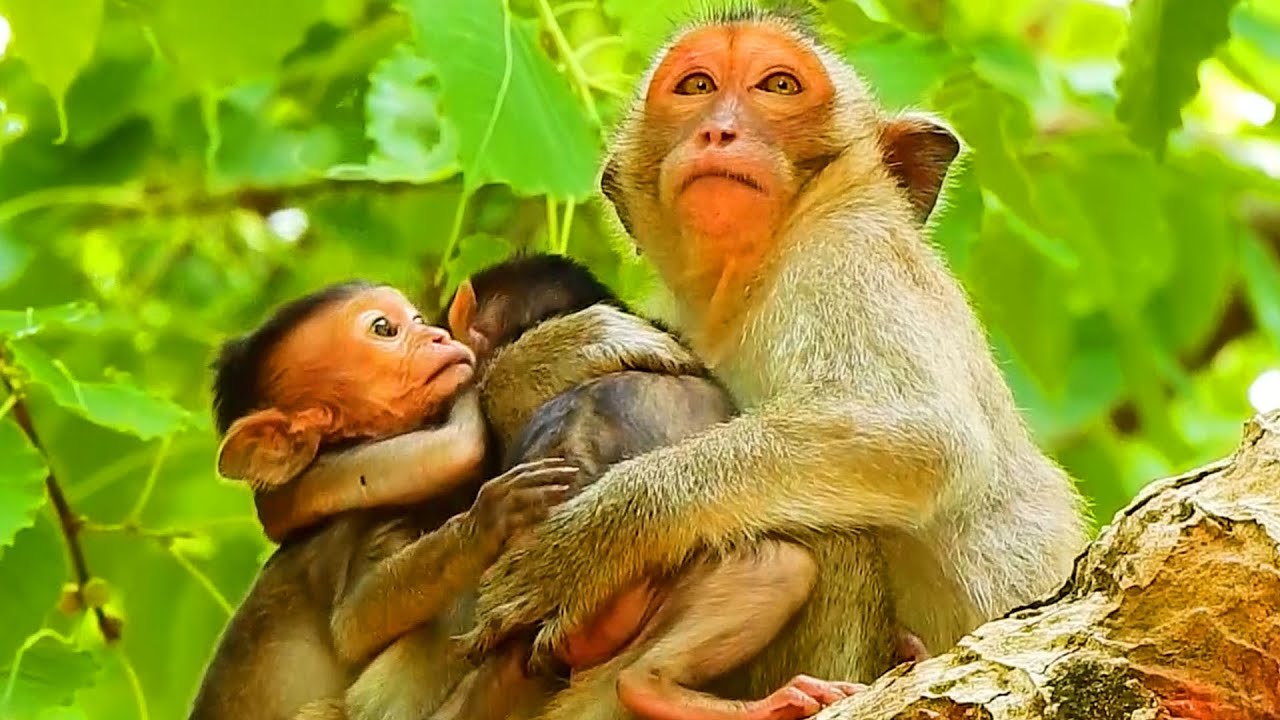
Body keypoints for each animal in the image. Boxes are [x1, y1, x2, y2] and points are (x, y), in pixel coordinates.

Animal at [187, 281, 578, 720]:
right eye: (384, 328)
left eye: (419, 320)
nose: (440, 336)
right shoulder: (359, 527)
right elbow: (355, 621)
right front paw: (488, 519)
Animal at [453, 8, 1090, 720]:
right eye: (697, 85)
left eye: (779, 85)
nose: (719, 129)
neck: (755, 276)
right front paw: (548, 358)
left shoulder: (851, 251)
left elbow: (922, 437)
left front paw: (590, 543)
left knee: (832, 529)